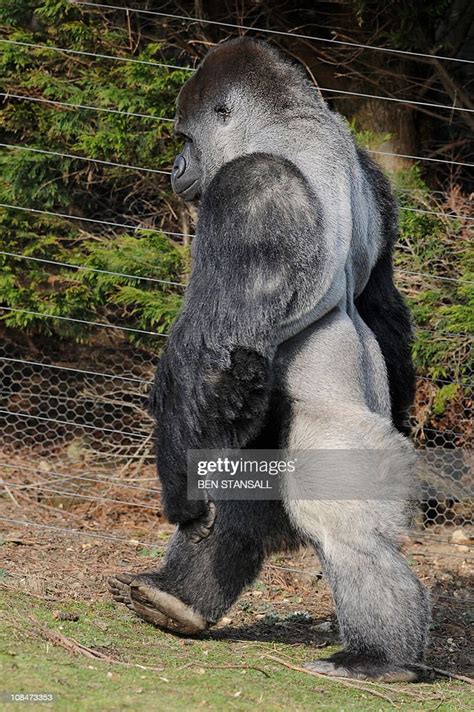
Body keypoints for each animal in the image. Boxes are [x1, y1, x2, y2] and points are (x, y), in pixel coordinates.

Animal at [109, 38, 429, 682]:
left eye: (185, 138)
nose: (175, 168)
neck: (293, 124)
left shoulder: (251, 187)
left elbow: (210, 352)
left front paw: (180, 500)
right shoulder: (379, 184)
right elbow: (383, 306)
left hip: (344, 436)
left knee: (347, 532)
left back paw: (379, 657)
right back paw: (176, 601)